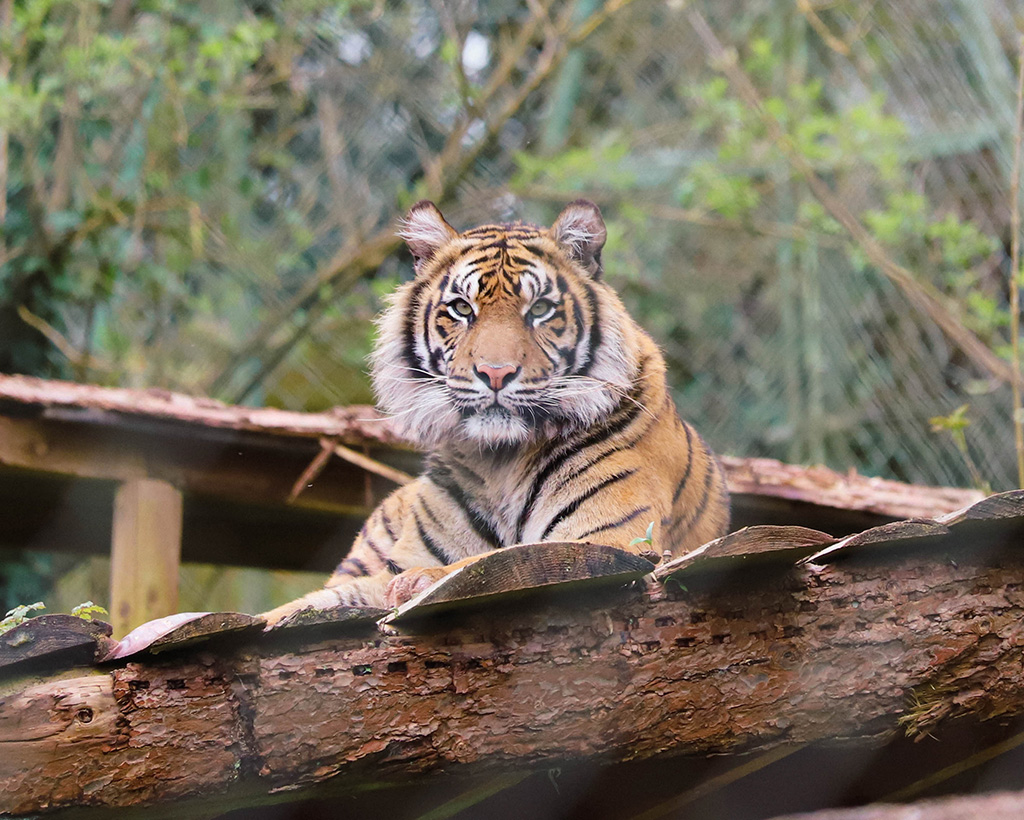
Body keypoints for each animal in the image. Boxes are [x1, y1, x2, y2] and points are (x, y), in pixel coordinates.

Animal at [263, 199, 729, 624]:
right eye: (461, 309)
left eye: (539, 309)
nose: (495, 373)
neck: (499, 462)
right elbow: (313, 602)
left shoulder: (611, 540)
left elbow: (482, 562)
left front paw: (420, 581)